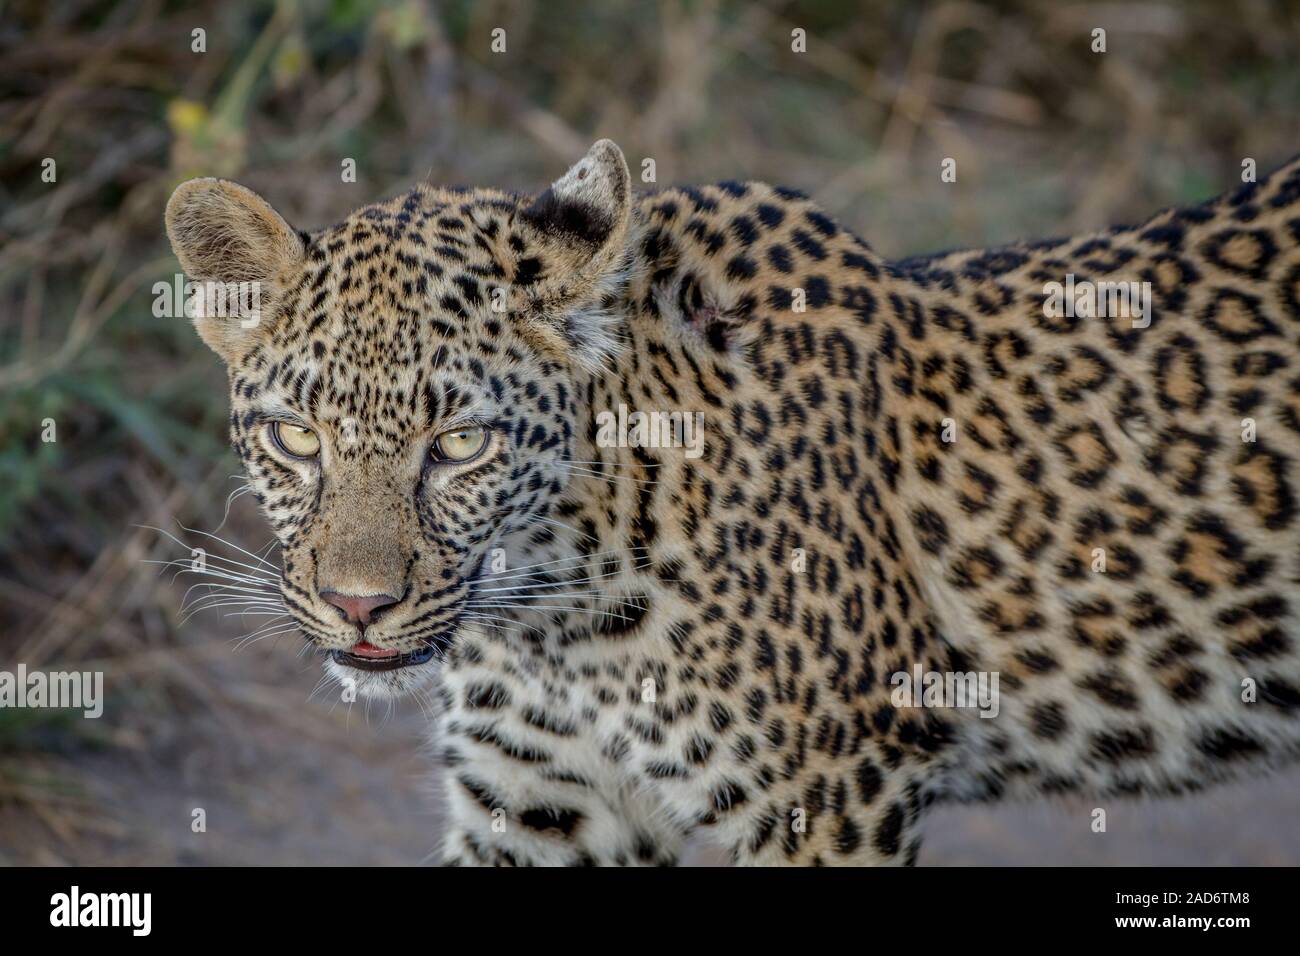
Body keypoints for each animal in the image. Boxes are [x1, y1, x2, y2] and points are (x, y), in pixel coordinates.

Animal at [164, 139, 1300, 865]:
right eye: (296, 436)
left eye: (460, 444)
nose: (358, 606)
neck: (556, 609)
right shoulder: (537, 804)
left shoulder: (832, 798)